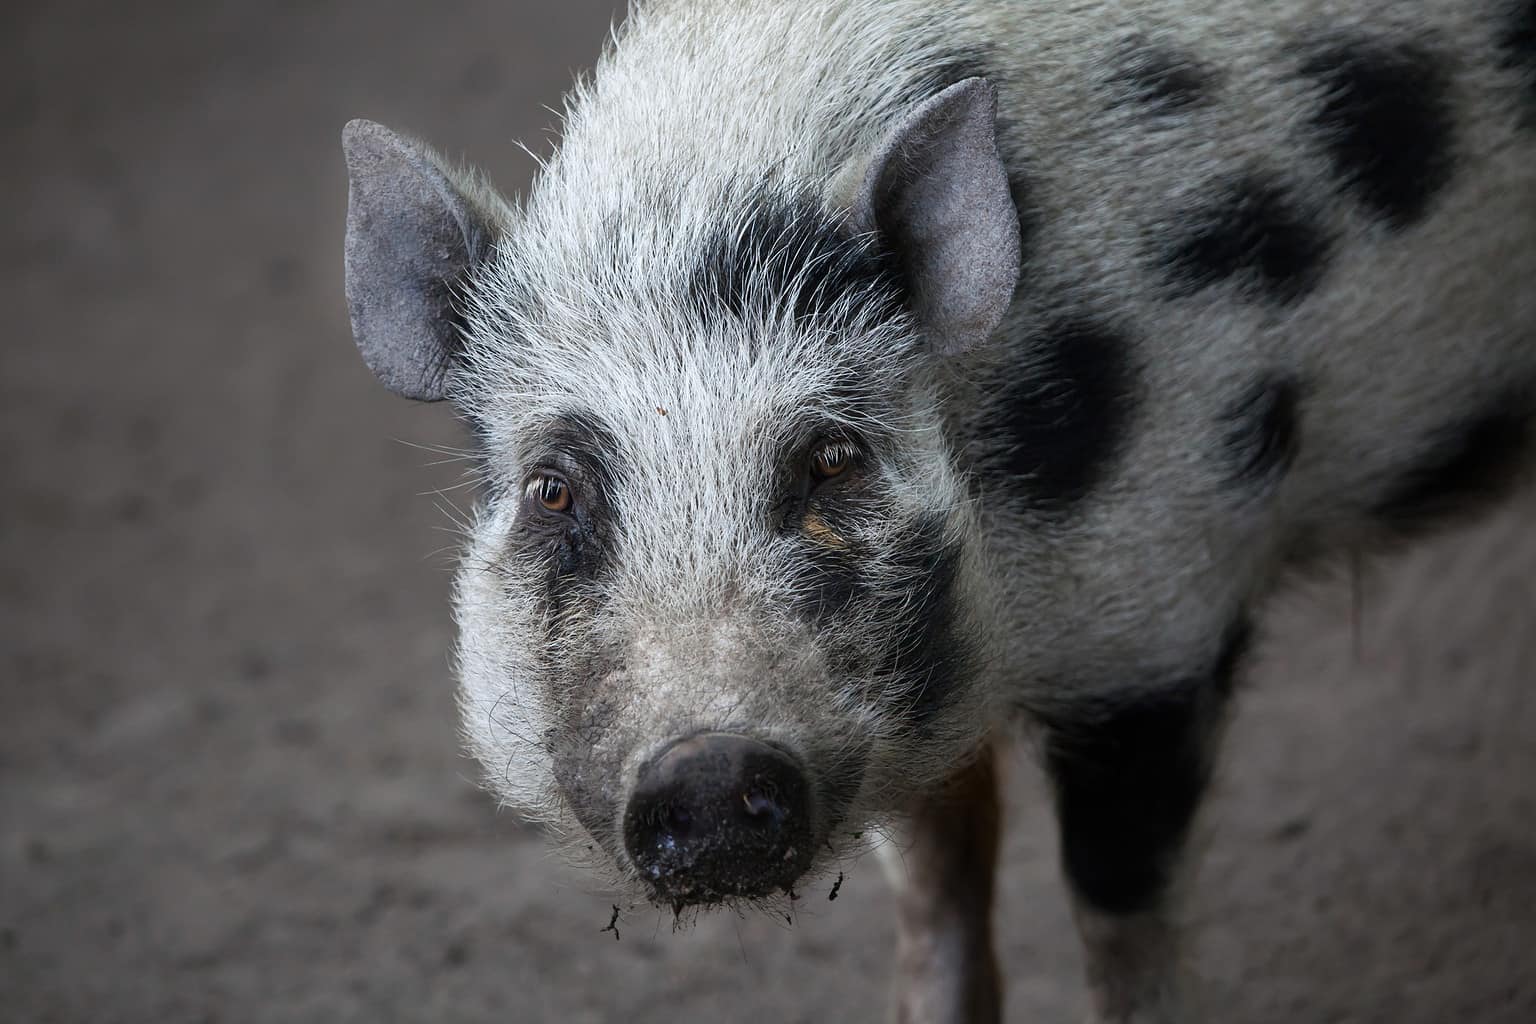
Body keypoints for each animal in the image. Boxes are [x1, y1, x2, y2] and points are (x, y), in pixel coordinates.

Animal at [338, 0, 1536, 1020]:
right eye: (554, 489)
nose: (709, 767)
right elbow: (938, 893)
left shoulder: (1161, 610)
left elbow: (1120, 913)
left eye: (832, 457)